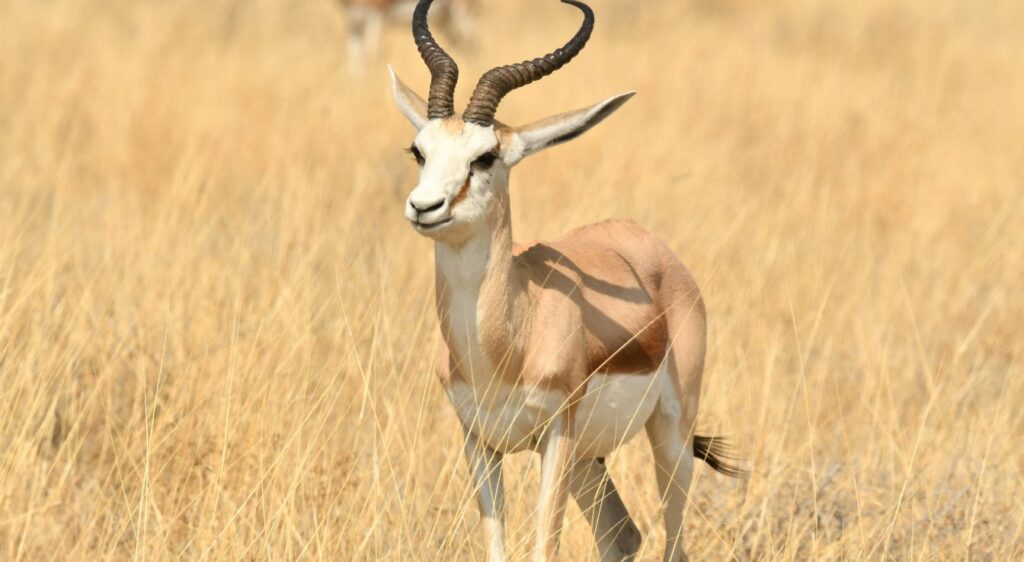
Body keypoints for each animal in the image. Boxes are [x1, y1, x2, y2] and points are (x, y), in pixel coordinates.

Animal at [338, 0, 474, 76]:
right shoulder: (352, 21)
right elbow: (354, 62)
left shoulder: (377, 17)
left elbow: (372, 56)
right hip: (446, 22)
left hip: (461, 16)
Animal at [389, 1, 746, 560]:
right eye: (418, 150)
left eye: (485, 157)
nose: (426, 207)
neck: (511, 333)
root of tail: (650, 243)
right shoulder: (478, 441)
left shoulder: (554, 437)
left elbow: (543, 547)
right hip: (588, 458)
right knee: (621, 535)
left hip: (668, 435)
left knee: (673, 541)